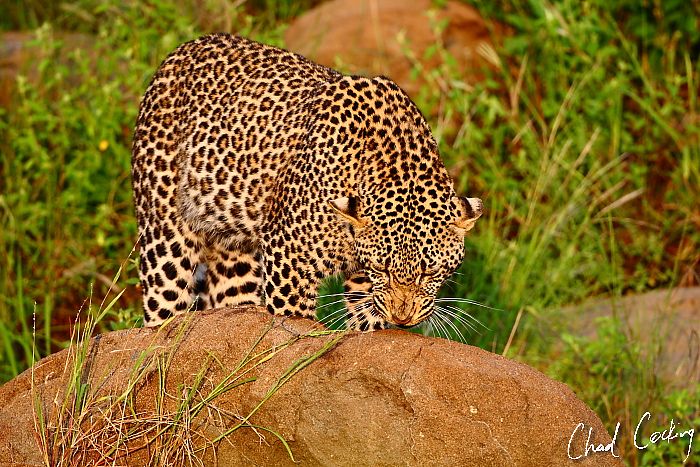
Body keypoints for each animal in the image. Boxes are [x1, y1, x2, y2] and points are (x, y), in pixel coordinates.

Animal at [131, 33, 482, 332]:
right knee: (163, 306)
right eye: (382, 268)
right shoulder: (288, 258)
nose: (403, 317)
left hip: (234, 249)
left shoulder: (361, 280)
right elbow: (294, 320)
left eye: (430, 272)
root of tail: (184, 48)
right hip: (165, 235)